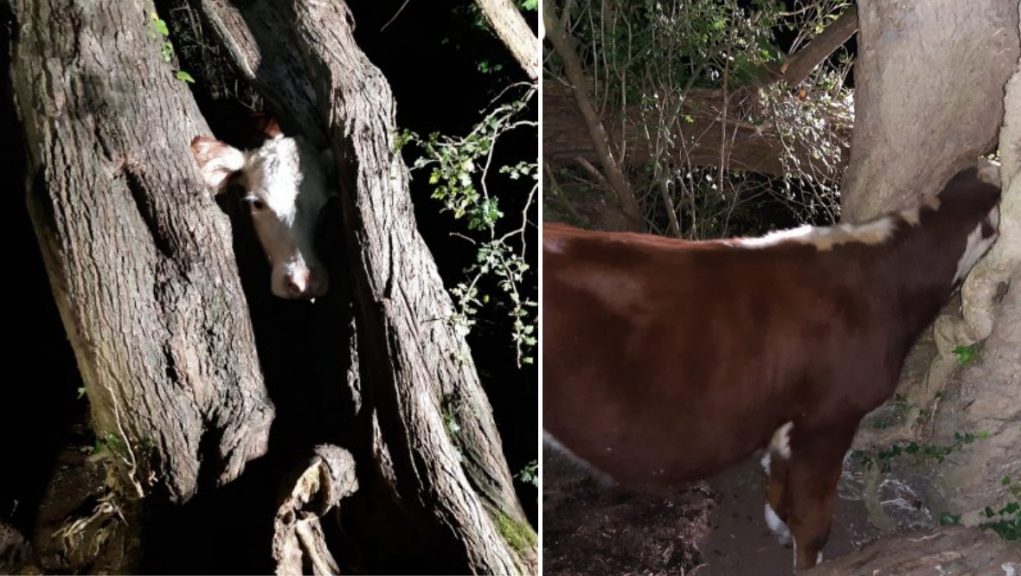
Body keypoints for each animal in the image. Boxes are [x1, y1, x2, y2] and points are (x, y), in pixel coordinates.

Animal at [542, 165, 1001, 571]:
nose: (988, 166)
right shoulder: (828, 420)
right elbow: (814, 523)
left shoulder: (789, 419)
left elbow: (780, 483)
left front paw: (779, 526)